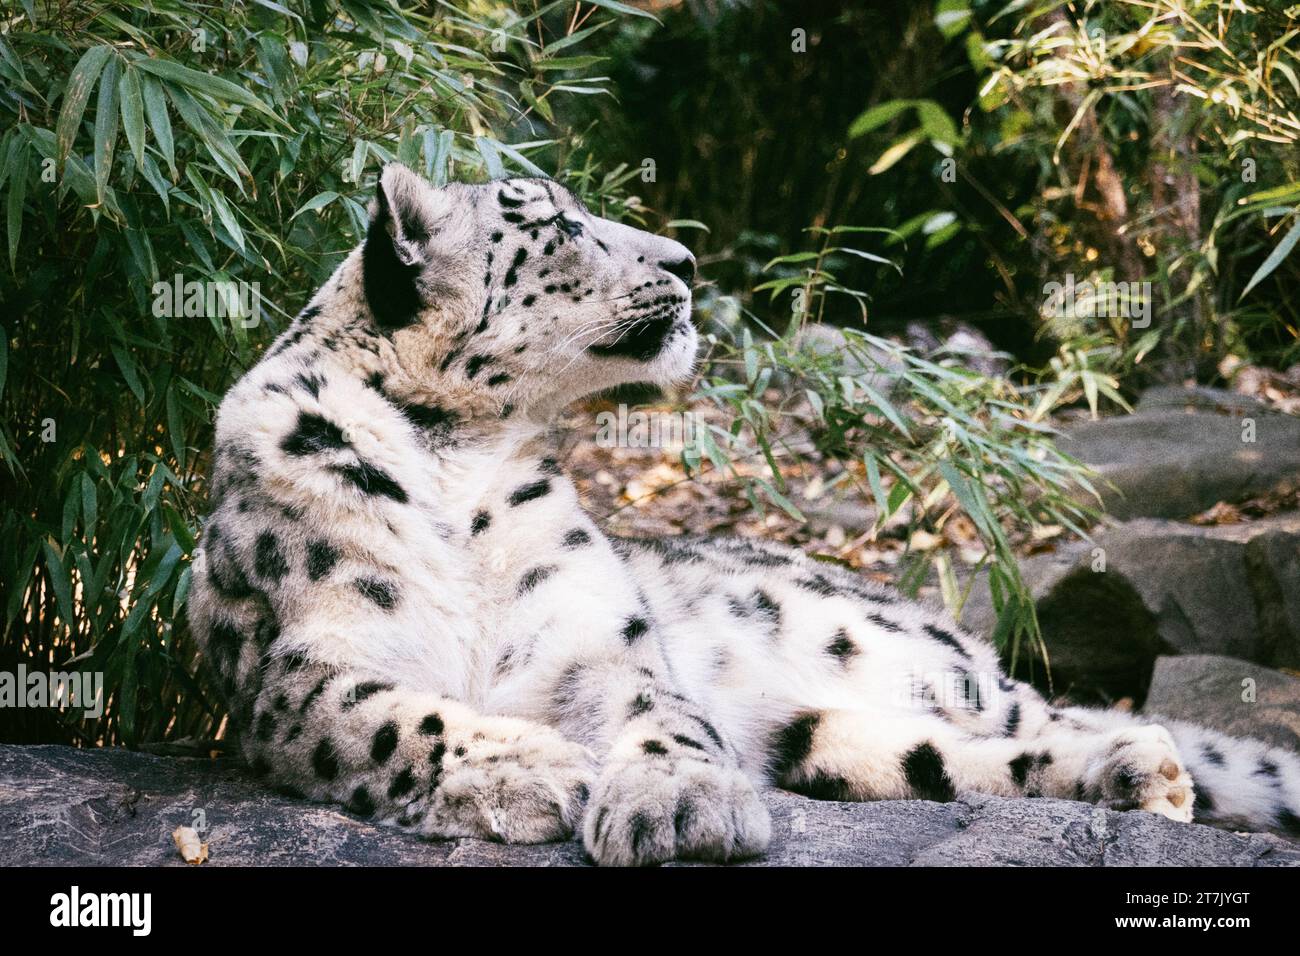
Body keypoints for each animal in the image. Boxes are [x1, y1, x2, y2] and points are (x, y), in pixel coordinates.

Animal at [188, 163, 1300, 866]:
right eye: (555, 224)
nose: (684, 260)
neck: (460, 460)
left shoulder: (599, 639)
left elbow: (657, 713)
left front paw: (678, 804)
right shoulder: (297, 667)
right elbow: (393, 719)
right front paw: (535, 766)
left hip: (895, 653)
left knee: (1052, 713)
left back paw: (1147, 768)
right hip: (830, 736)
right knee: (949, 758)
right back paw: (1129, 776)